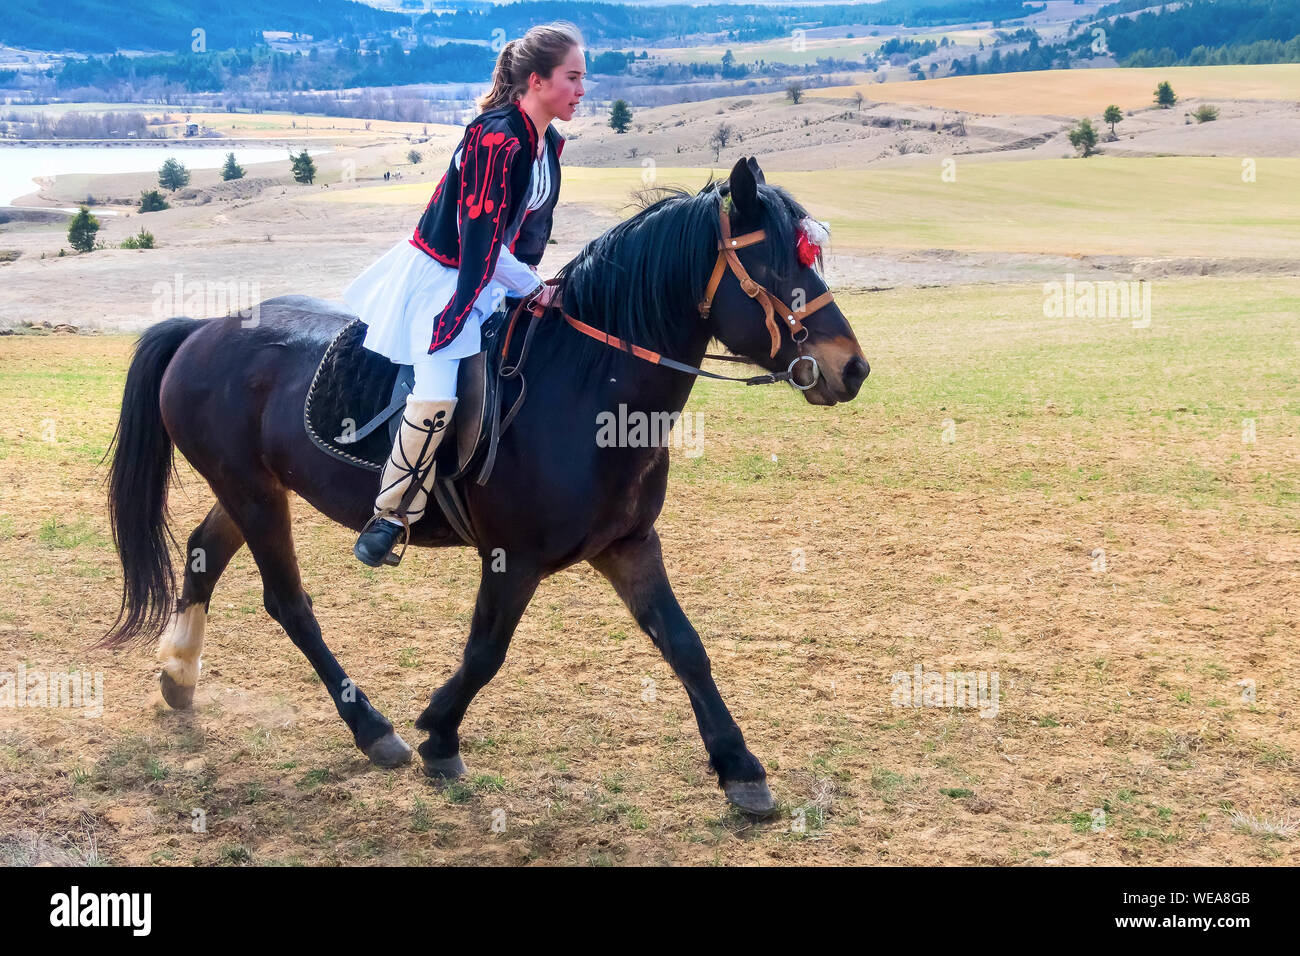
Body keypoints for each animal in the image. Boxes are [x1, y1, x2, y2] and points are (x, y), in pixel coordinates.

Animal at [101, 156, 869, 815]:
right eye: (774, 262)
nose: (851, 368)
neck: (587, 388)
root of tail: (202, 327)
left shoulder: (628, 545)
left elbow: (685, 646)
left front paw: (740, 768)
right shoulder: (513, 559)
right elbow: (485, 652)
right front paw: (439, 733)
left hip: (251, 488)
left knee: (203, 551)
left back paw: (179, 677)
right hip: (257, 497)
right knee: (289, 603)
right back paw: (371, 728)